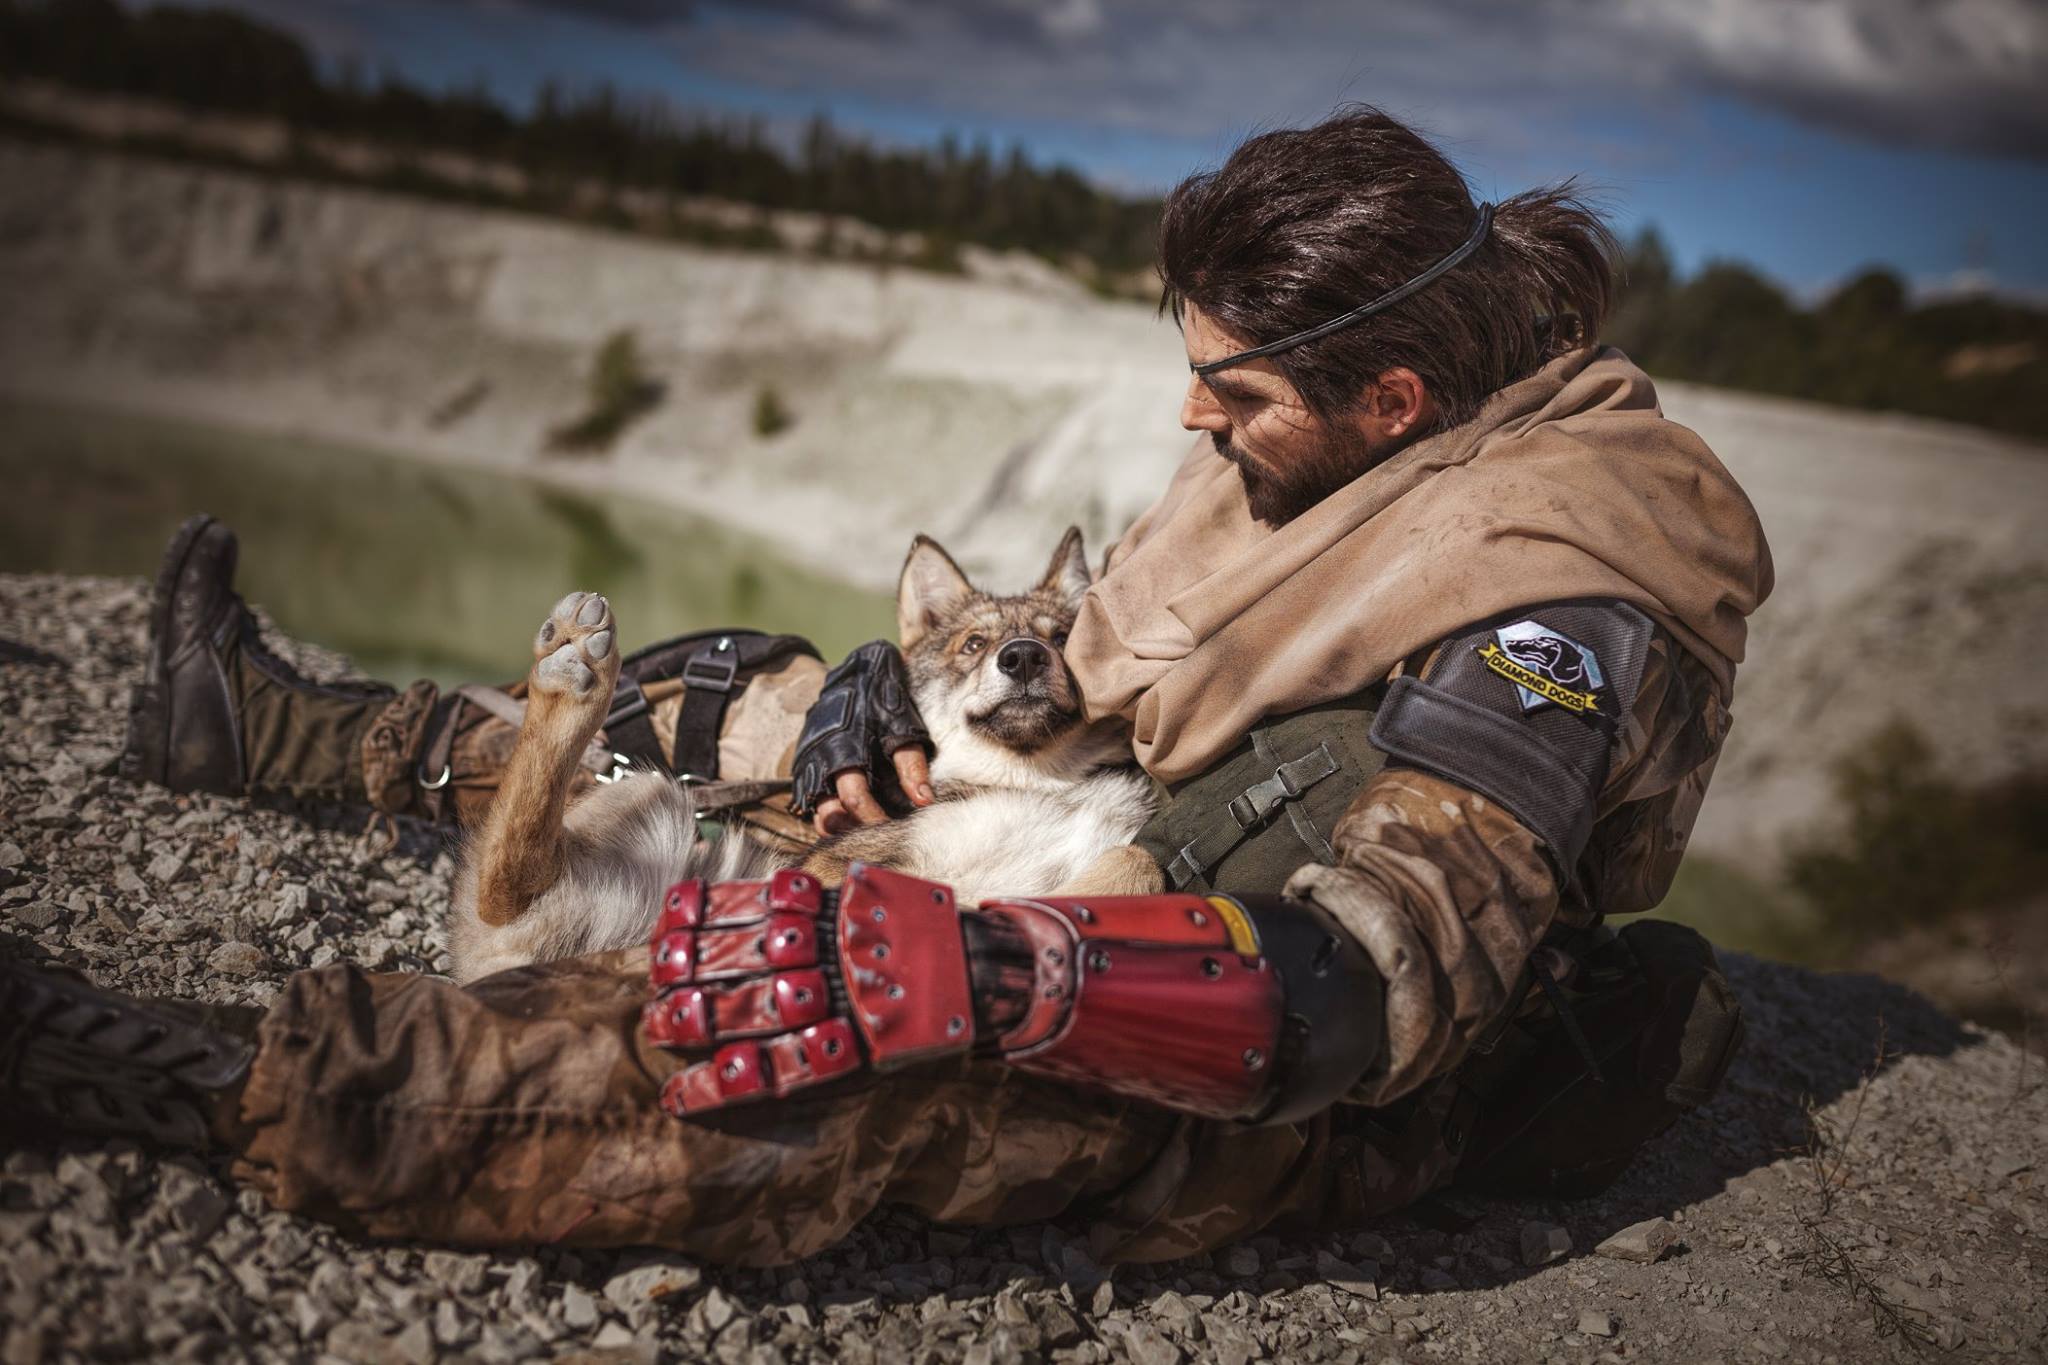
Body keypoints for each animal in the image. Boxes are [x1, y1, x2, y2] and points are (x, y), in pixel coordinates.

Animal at [445, 528, 1166, 982]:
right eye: (974, 644)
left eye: (1063, 637)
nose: (1022, 657)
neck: (1041, 781)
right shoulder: (838, 866)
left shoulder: (1126, 849)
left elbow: (1139, 863)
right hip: (653, 792)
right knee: (506, 879)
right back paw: (573, 668)